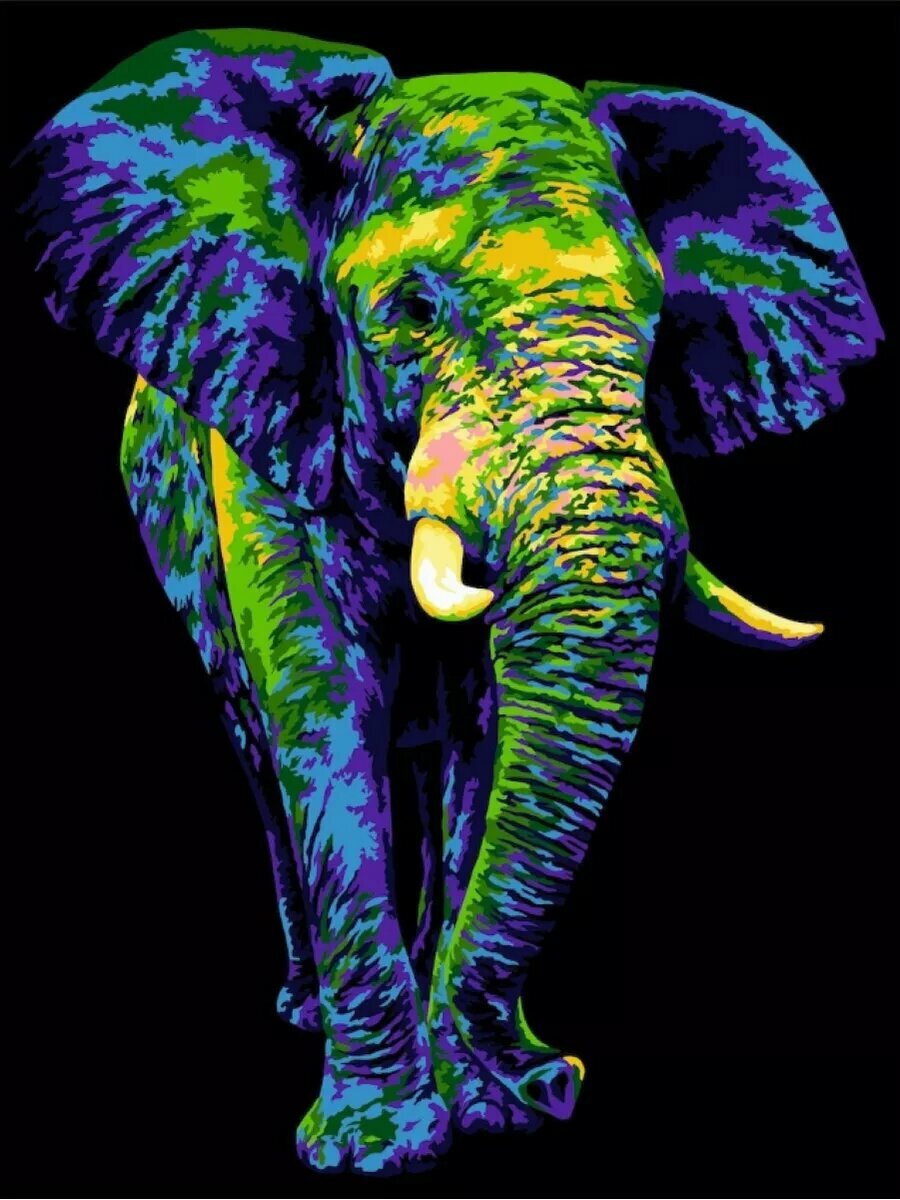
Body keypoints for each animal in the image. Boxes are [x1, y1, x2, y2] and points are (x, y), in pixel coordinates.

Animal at [16, 28, 881, 1175]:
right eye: (414, 312)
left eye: (656, 320)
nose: (562, 1080)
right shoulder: (268, 427)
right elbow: (324, 709)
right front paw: (379, 1147)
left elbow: (485, 733)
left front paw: (489, 1107)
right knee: (259, 749)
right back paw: (306, 1006)